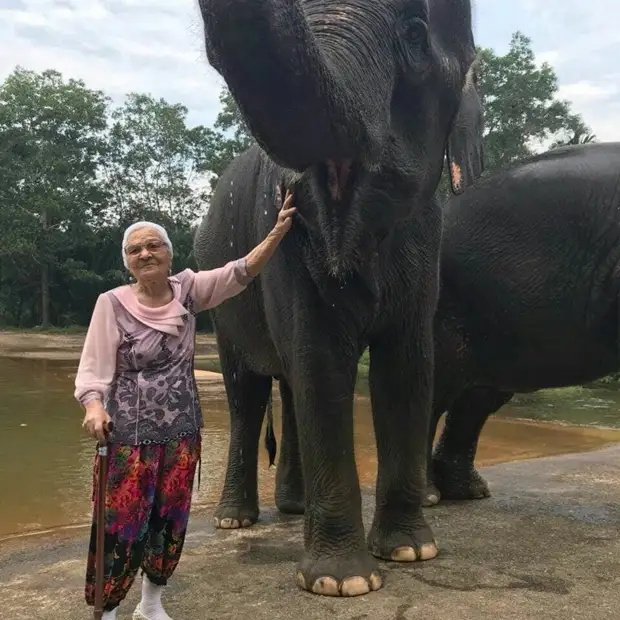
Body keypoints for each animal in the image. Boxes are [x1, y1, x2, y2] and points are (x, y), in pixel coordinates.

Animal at [195, 0, 484, 600]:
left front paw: (411, 552)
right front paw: (342, 582)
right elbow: (322, 359)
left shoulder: (428, 240)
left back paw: (292, 507)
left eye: (415, 36)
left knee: (287, 387)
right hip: (223, 308)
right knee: (246, 392)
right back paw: (235, 519)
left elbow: (408, 365)